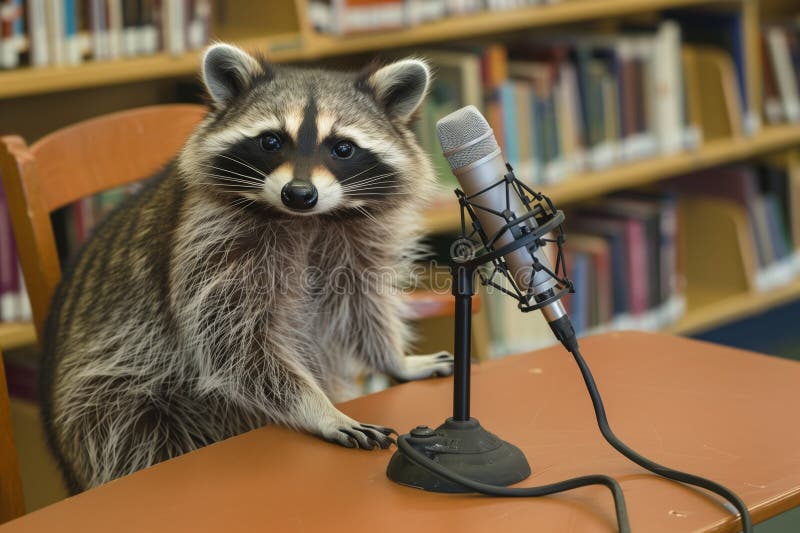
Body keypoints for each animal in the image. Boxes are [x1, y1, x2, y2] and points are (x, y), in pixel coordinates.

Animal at [41, 43, 454, 493]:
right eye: (271, 141)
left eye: (342, 148)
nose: (299, 193)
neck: (306, 220)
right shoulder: (207, 244)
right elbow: (234, 346)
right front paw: (320, 408)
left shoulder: (357, 241)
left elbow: (362, 305)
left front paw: (394, 359)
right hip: (109, 404)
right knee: (136, 434)